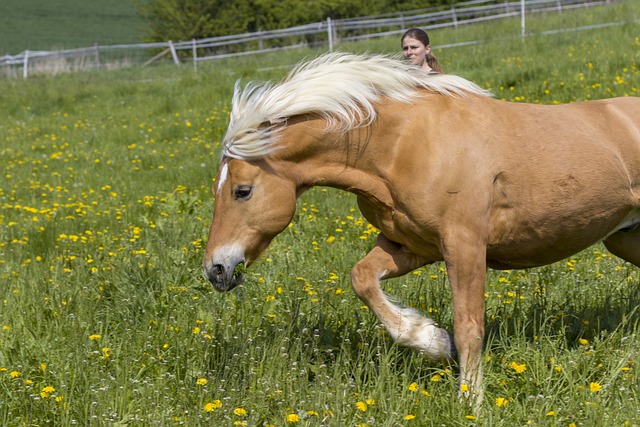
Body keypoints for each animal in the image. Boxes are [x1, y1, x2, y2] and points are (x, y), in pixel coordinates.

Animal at [203, 52, 640, 403]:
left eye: (242, 191)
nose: (216, 269)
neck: (404, 145)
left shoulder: (464, 245)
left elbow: (468, 326)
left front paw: (471, 400)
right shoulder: (411, 246)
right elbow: (362, 279)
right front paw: (430, 340)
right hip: (624, 239)